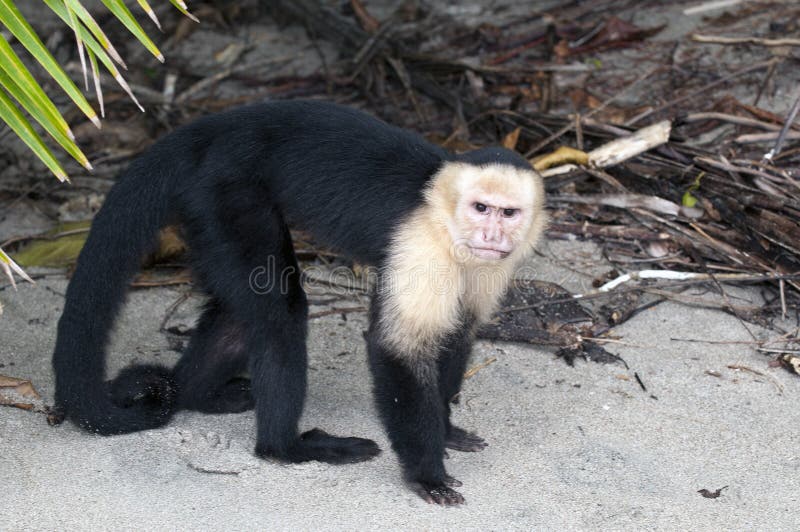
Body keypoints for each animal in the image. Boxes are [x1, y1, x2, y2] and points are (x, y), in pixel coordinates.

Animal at [51, 100, 547, 505]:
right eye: (480, 208)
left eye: (508, 214)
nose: (491, 235)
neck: (445, 222)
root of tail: (211, 128)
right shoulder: (421, 245)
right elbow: (397, 350)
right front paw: (427, 475)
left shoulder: (490, 266)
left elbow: (459, 333)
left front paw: (444, 430)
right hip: (224, 191)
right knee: (279, 307)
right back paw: (285, 448)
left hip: (203, 209)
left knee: (240, 314)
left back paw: (195, 394)